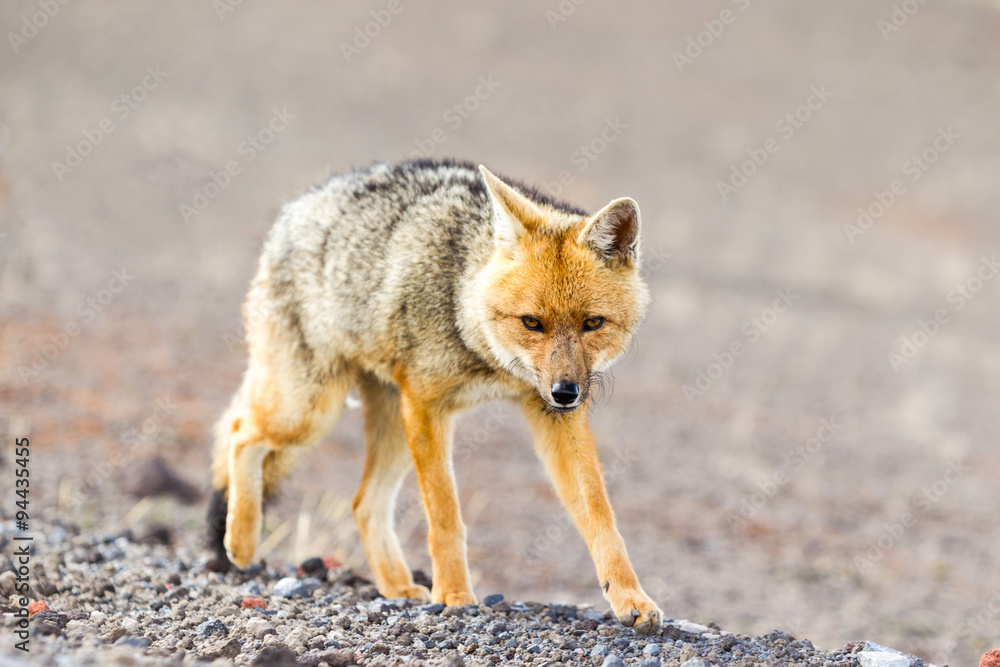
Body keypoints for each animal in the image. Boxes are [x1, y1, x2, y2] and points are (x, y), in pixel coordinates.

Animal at [206, 158, 662, 633]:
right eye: (532, 323)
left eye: (593, 323)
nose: (566, 392)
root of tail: (296, 207)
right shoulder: (428, 407)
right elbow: (445, 516)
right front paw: (455, 594)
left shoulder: (551, 416)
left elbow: (600, 517)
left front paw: (629, 597)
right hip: (310, 413)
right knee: (240, 433)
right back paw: (240, 542)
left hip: (387, 423)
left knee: (362, 503)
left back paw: (396, 586)